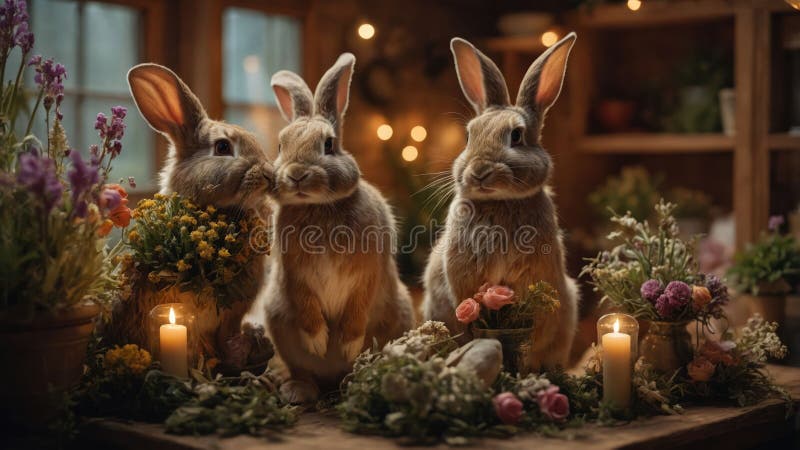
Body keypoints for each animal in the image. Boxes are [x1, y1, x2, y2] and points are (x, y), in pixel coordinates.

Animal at [258, 53, 414, 404]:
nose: (297, 175)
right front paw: (319, 341)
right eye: (280, 146)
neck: (319, 207)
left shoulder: (369, 269)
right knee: (302, 369)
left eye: (329, 145)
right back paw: (298, 390)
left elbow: (358, 305)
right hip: (277, 319)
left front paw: (346, 343)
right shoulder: (294, 272)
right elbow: (306, 304)